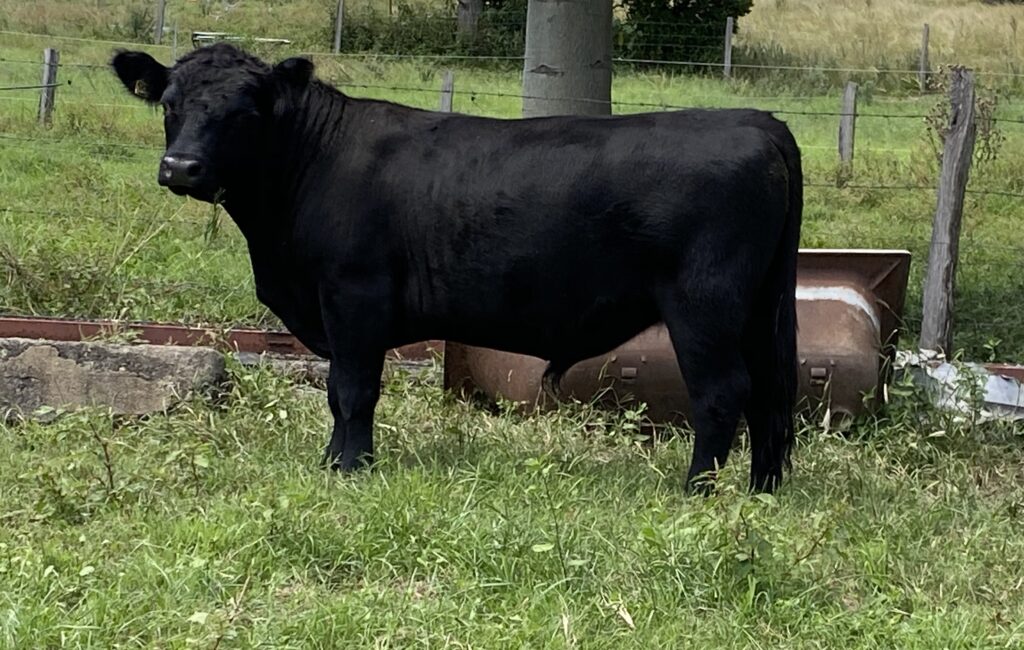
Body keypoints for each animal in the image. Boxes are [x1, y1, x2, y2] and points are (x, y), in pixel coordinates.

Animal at [111, 43, 802, 493]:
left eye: (245, 111)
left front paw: (351, 470)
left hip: (703, 305)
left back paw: (698, 492)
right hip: (759, 308)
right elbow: (337, 393)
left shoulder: (354, 297)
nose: (181, 167)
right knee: (772, 392)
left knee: (723, 394)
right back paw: (761, 491)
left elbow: (353, 389)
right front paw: (333, 463)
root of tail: (758, 121)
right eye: (169, 104)